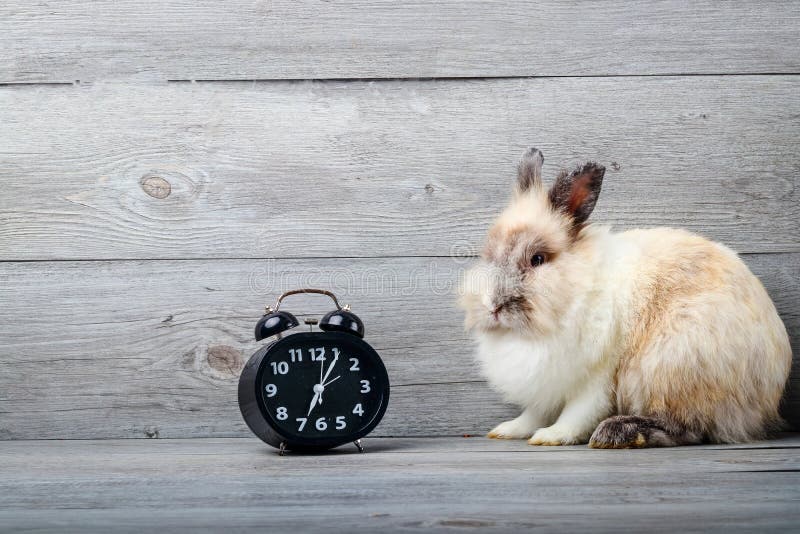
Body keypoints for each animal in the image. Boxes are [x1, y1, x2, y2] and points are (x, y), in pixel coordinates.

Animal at [459, 147, 792, 447]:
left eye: (537, 259)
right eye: (489, 255)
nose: (493, 306)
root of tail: (767, 400)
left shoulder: (598, 376)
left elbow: (578, 412)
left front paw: (552, 436)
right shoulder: (546, 382)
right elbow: (535, 412)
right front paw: (509, 429)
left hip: (668, 366)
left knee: (689, 427)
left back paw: (621, 433)